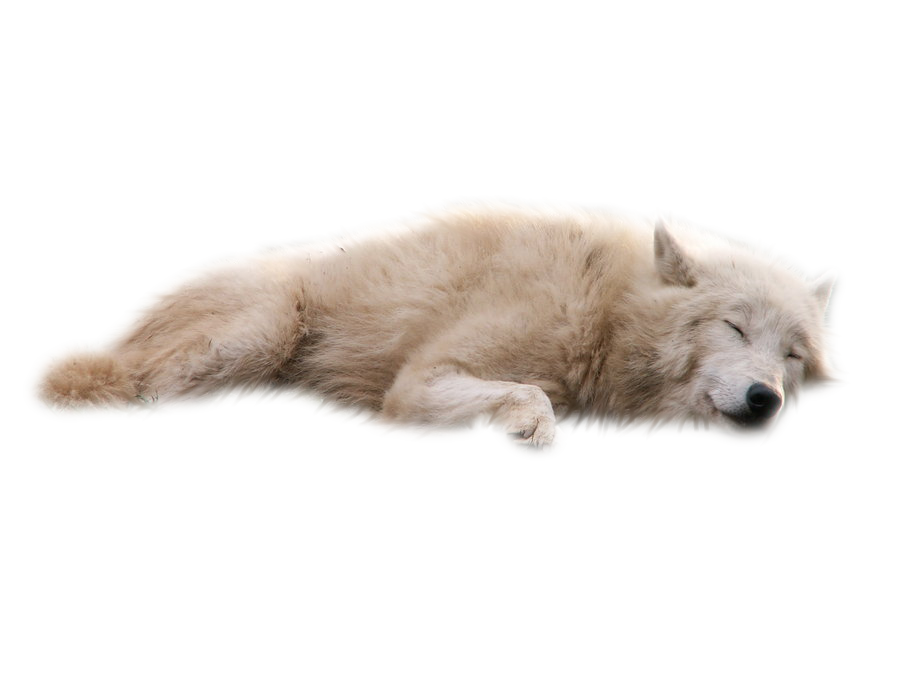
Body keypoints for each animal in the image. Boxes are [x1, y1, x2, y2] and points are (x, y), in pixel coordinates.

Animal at [24, 199, 847, 458]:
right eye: (733, 327)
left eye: (791, 354)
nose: (766, 401)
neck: (605, 309)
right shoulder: (418, 384)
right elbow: (527, 393)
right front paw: (533, 431)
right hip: (255, 335)